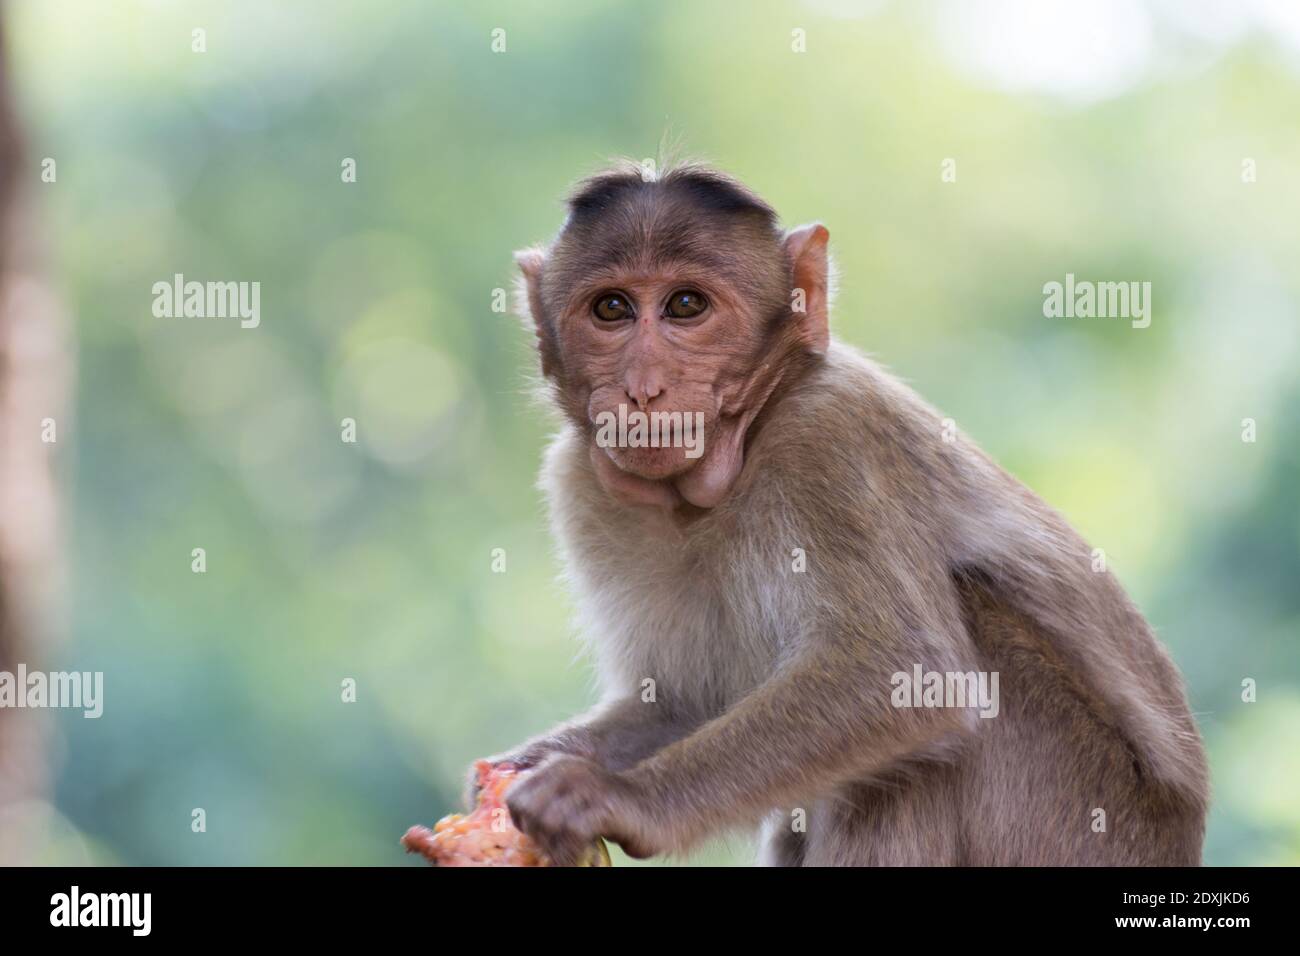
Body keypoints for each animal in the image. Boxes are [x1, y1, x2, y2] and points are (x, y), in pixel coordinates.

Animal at [482, 159, 1208, 866]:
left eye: (686, 306)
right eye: (612, 309)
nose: (642, 388)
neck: (742, 448)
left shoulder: (828, 435)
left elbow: (905, 675)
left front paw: (618, 798)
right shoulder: (580, 483)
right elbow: (683, 701)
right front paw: (531, 763)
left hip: (1083, 818)